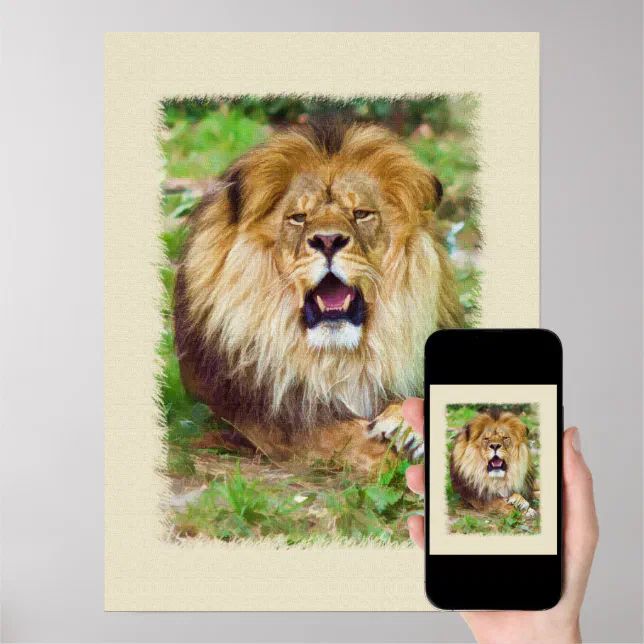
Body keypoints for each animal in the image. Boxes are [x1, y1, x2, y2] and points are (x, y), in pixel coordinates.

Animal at [174, 118, 463, 471]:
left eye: (361, 213)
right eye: (299, 217)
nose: (328, 240)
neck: (339, 359)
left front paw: (406, 424)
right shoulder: (273, 424)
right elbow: (355, 443)